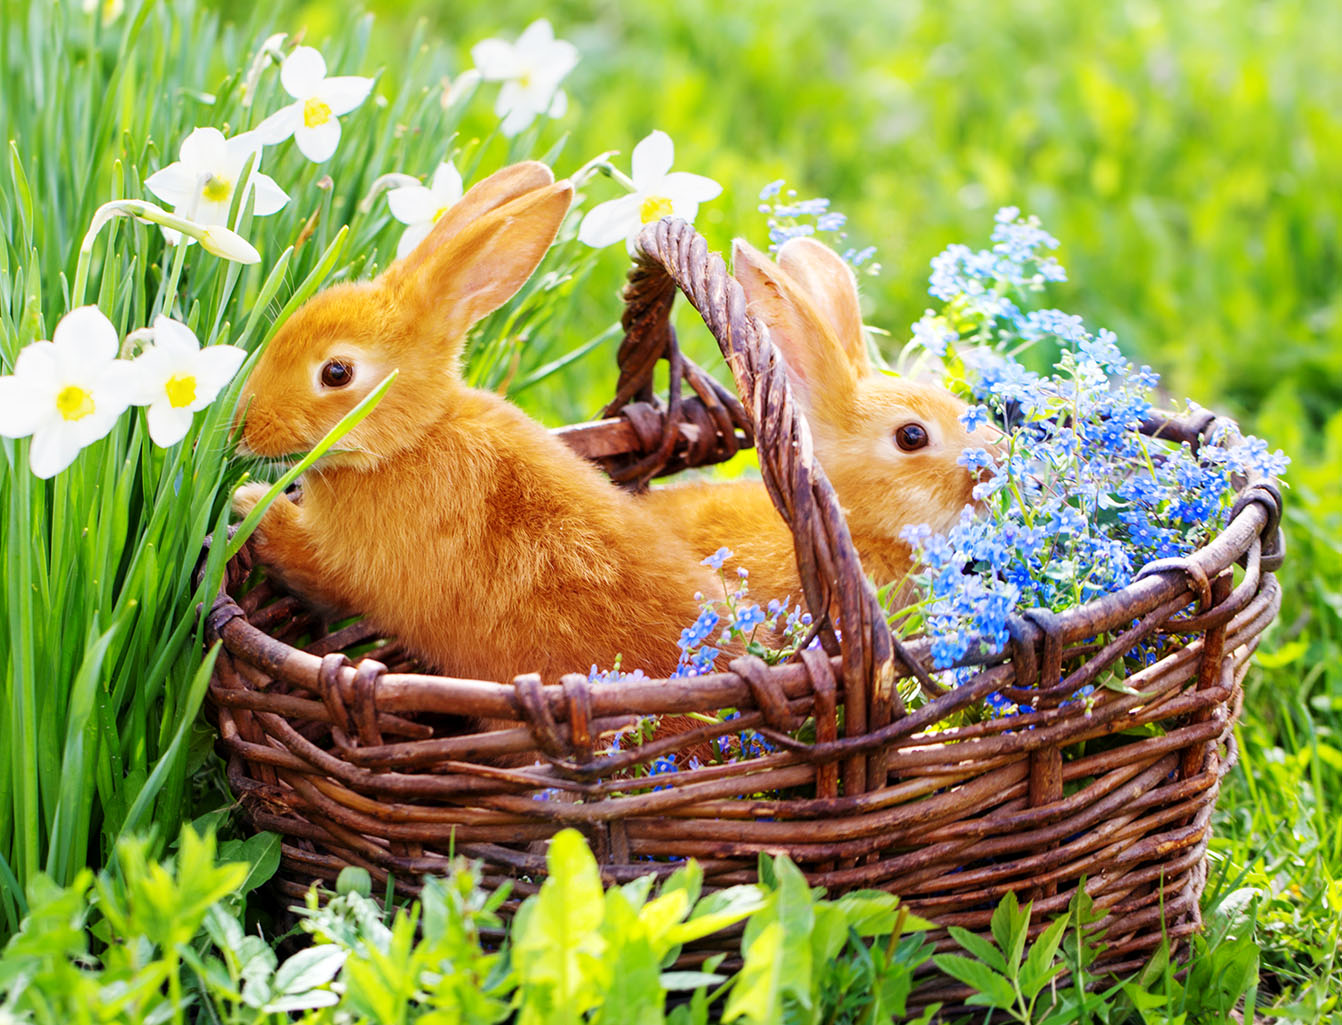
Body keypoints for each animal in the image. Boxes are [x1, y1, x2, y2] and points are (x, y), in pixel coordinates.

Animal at [231, 162, 718, 693]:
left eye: (336, 373)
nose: (243, 428)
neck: (413, 438)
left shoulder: (345, 562)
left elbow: (306, 561)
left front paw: (249, 502)